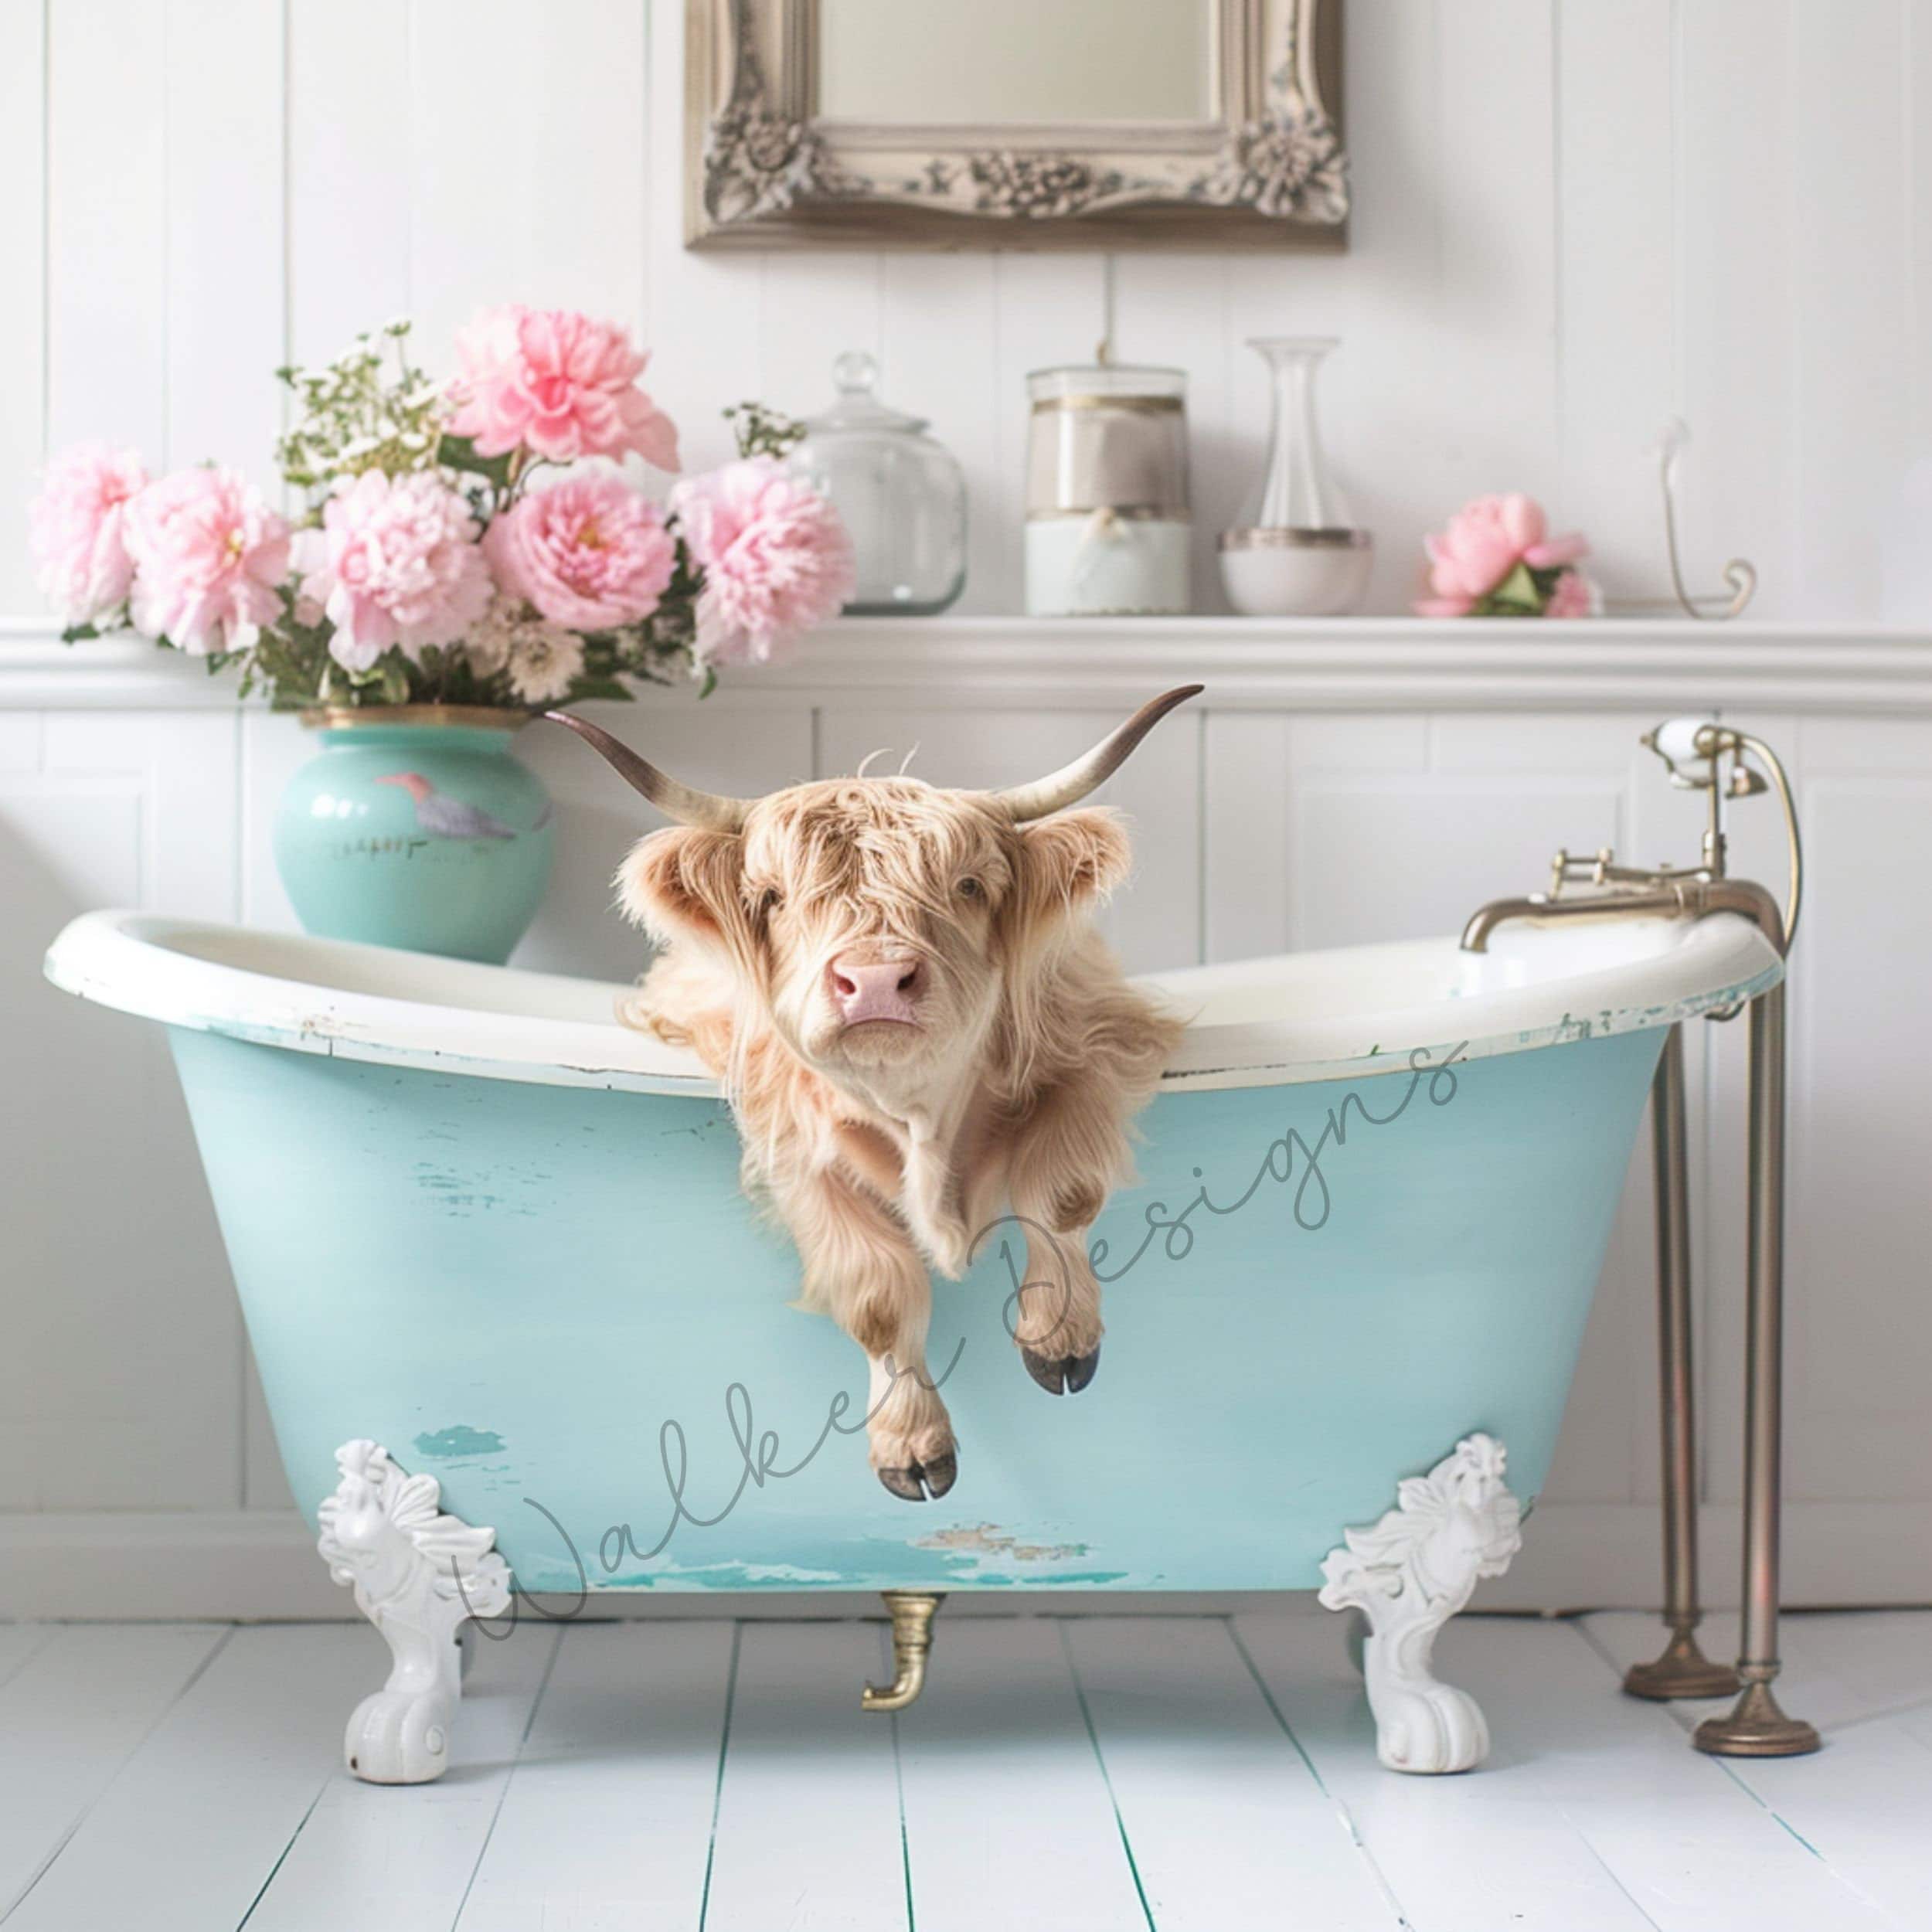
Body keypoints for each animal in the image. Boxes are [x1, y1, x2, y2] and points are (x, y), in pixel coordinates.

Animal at [548, 689, 1198, 1501]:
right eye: (774, 897)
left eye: (969, 886)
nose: (877, 981)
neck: (923, 1119)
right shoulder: (795, 1151)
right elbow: (879, 1295)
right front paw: (911, 1441)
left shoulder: (1100, 1043)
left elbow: (1062, 1194)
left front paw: (1059, 1336)